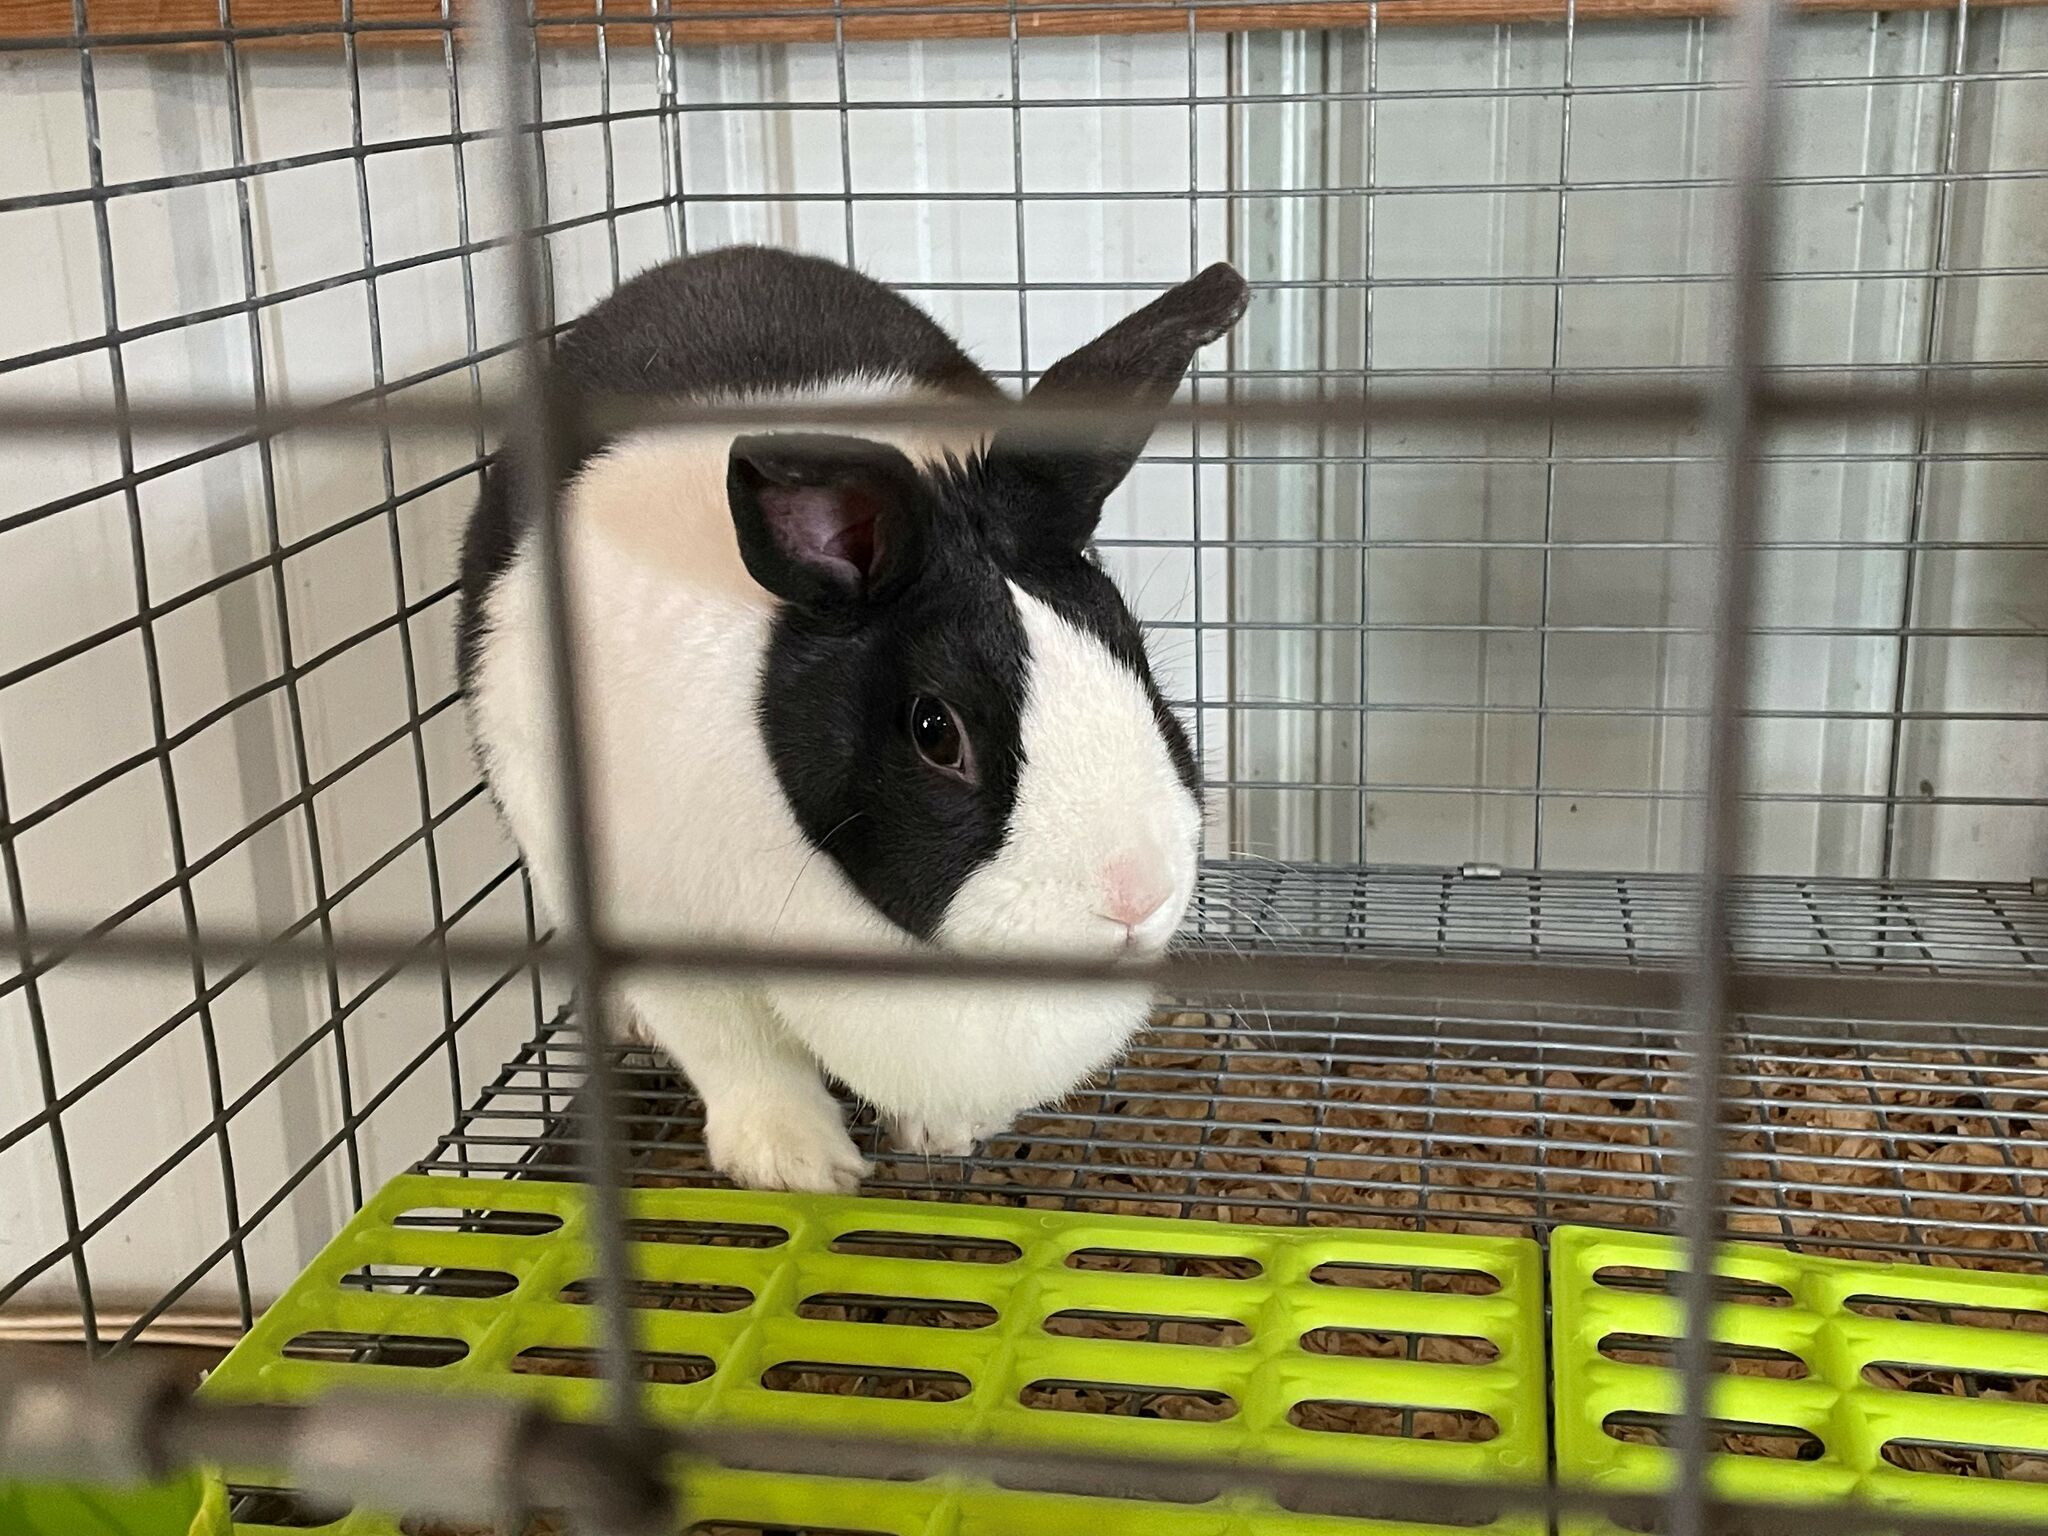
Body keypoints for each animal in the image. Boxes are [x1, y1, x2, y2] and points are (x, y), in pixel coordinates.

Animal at [458, 244, 1248, 1193]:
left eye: (1136, 660)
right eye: (935, 732)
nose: (1137, 897)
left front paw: (946, 1133)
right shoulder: (656, 921)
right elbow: (739, 1054)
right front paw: (798, 1166)